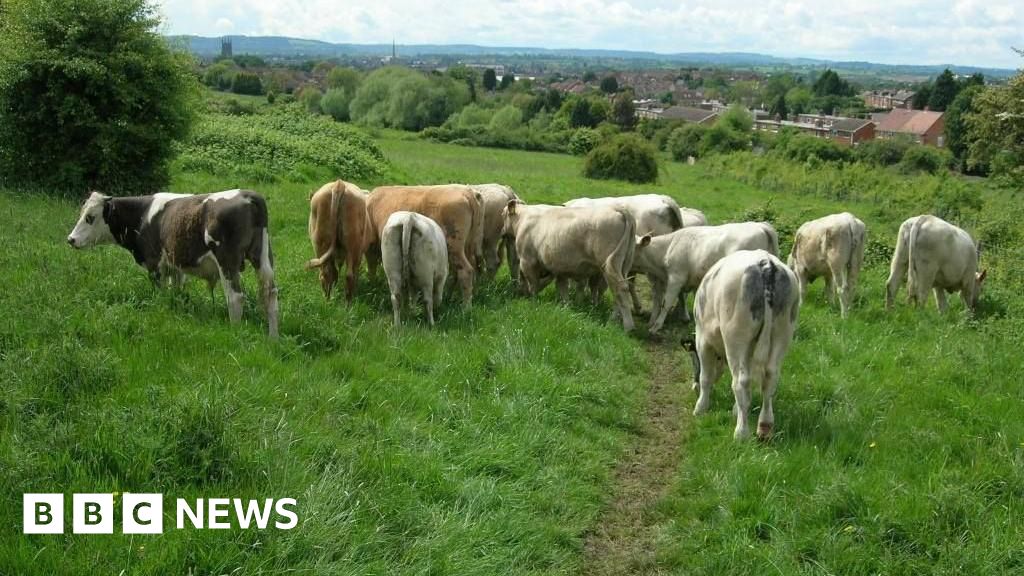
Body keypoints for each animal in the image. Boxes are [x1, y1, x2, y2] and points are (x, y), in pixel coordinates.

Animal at [67, 190, 279, 338]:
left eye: (90, 217)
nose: (71, 239)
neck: (142, 215)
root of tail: (247, 194)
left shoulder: (154, 265)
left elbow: (160, 294)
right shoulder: (176, 268)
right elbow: (175, 293)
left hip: (227, 261)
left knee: (235, 298)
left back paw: (234, 333)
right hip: (263, 259)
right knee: (270, 294)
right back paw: (273, 338)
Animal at [503, 201, 638, 331]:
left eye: (502, 214)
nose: (503, 231)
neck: (523, 218)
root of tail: (617, 208)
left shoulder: (527, 261)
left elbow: (533, 284)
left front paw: (533, 302)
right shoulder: (559, 267)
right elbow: (562, 287)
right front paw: (566, 307)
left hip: (610, 265)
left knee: (620, 289)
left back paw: (625, 325)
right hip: (625, 264)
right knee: (621, 290)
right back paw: (615, 320)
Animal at [633, 222, 779, 332]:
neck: (667, 247)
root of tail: (760, 225)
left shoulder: (676, 277)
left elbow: (666, 303)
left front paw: (656, 326)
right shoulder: (685, 279)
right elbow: (682, 298)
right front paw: (685, 317)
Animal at [690, 249, 800, 440]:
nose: (693, 387)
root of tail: (766, 264)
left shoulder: (703, 339)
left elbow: (706, 377)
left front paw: (700, 407)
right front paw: (736, 410)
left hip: (736, 337)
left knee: (741, 381)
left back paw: (741, 433)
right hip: (783, 333)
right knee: (770, 377)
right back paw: (765, 426)